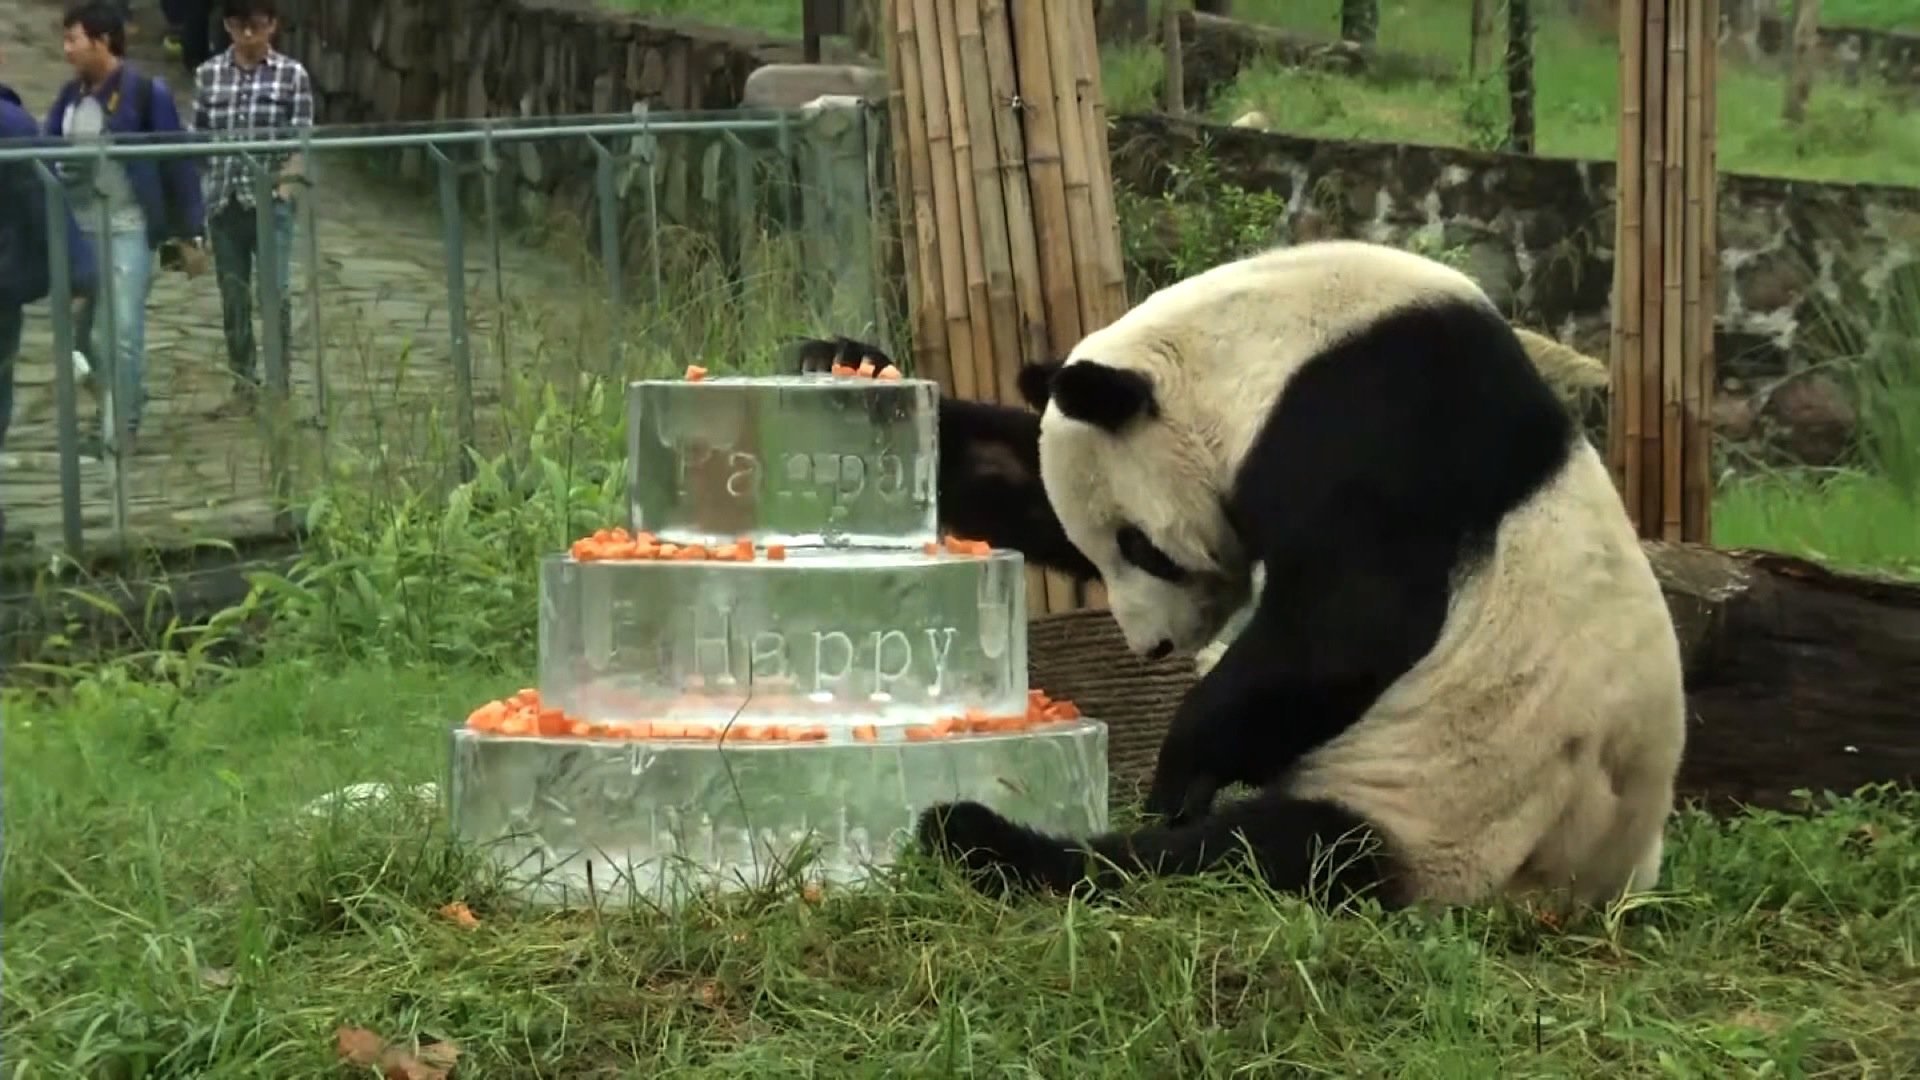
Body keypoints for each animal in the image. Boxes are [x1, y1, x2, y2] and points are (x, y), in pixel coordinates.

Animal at [788, 239, 1685, 915]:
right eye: (1109, 550)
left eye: (1143, 547)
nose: (1150, 648)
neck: (1268, 341)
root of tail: (1583, 893)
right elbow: (1020, 483)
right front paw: (843, 363)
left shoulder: (1383, 423)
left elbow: (1351, 625)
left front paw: (1180, 770)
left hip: (1448, 806)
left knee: (1265, 855)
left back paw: (983, 838)